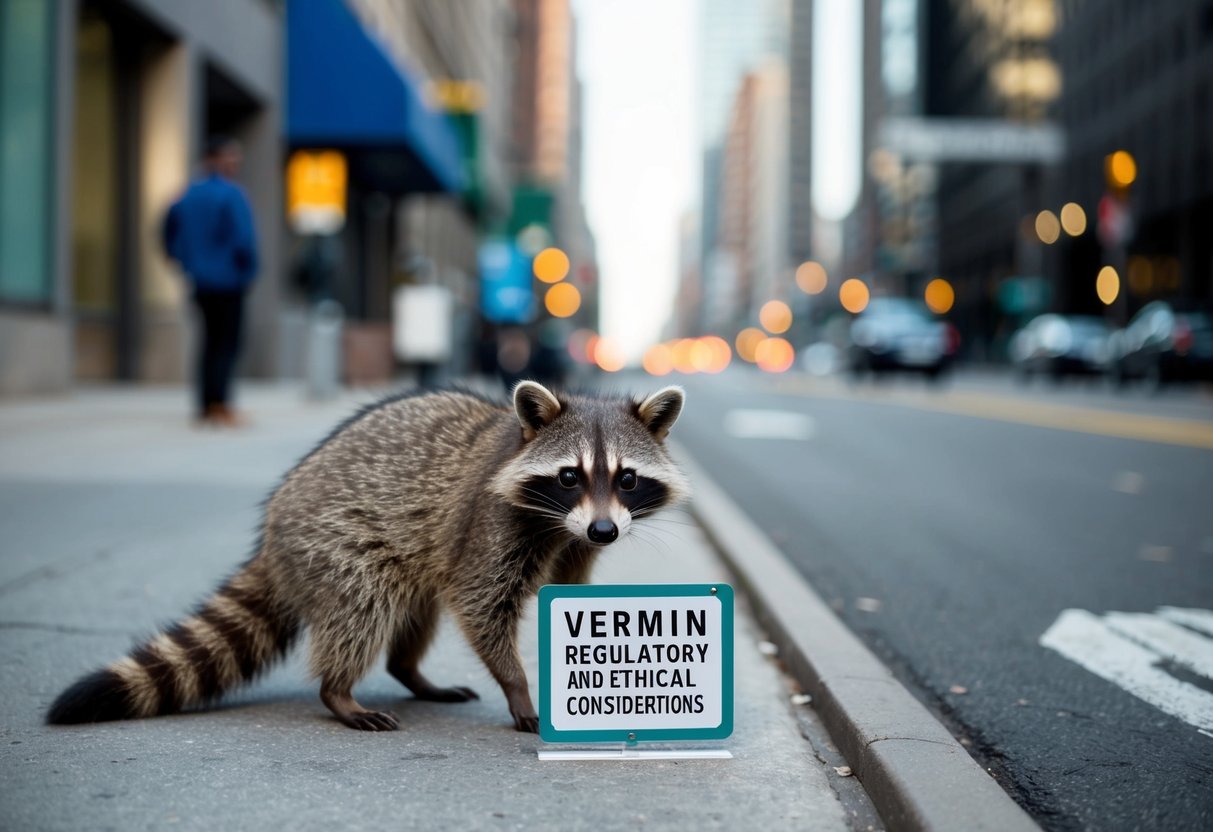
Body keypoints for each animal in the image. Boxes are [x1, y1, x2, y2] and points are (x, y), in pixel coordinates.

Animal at [46, 381, 687, 732]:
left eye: (627, 479)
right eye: (569, 476)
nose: (605, 530)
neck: (560, 522)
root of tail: (272, 535)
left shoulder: (573, 544)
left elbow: (566, 593)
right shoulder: (488, 525)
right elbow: (480, 602)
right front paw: (519, 686)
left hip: (406, 557)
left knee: (416, 609)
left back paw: (410, 671)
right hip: (339, 543)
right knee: (363, 607)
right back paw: (339, 691)